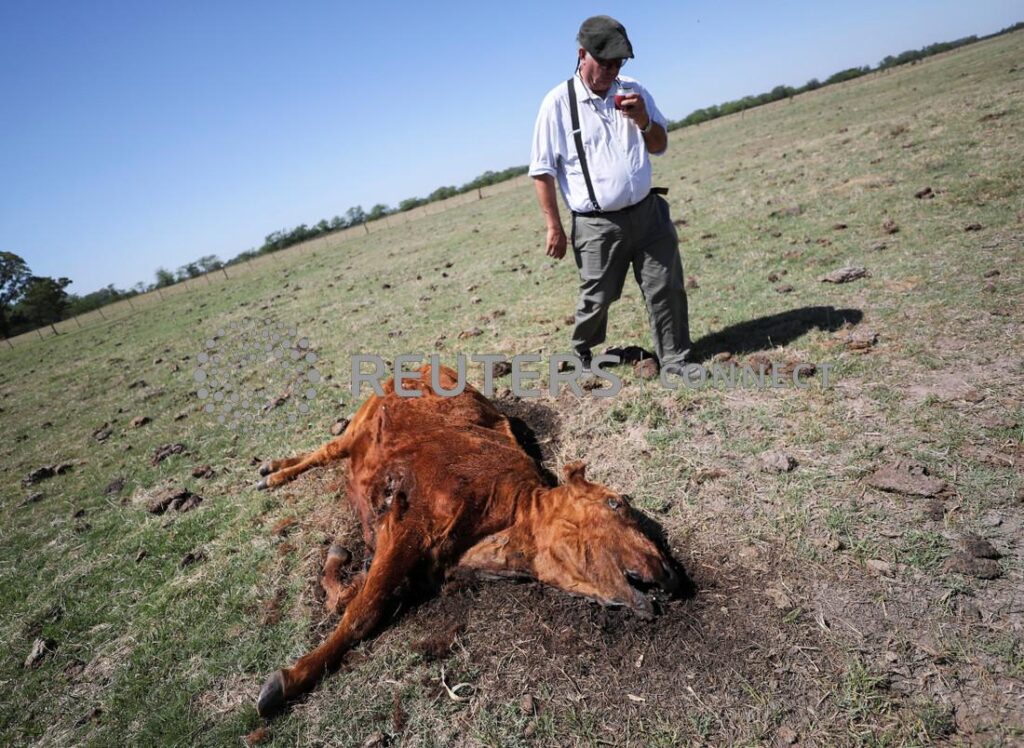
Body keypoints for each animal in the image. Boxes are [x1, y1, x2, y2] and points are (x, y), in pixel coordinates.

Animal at [254, 365, 691, 716]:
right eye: (616, 502)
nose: (670, 573)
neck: (508, 516)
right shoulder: (410, 523)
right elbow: (363, 610)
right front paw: (287, 682)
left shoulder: (422, 564)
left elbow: (353, 596)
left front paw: (336, 560)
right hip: (360, 425)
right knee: (325, 450)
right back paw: (273, 473)